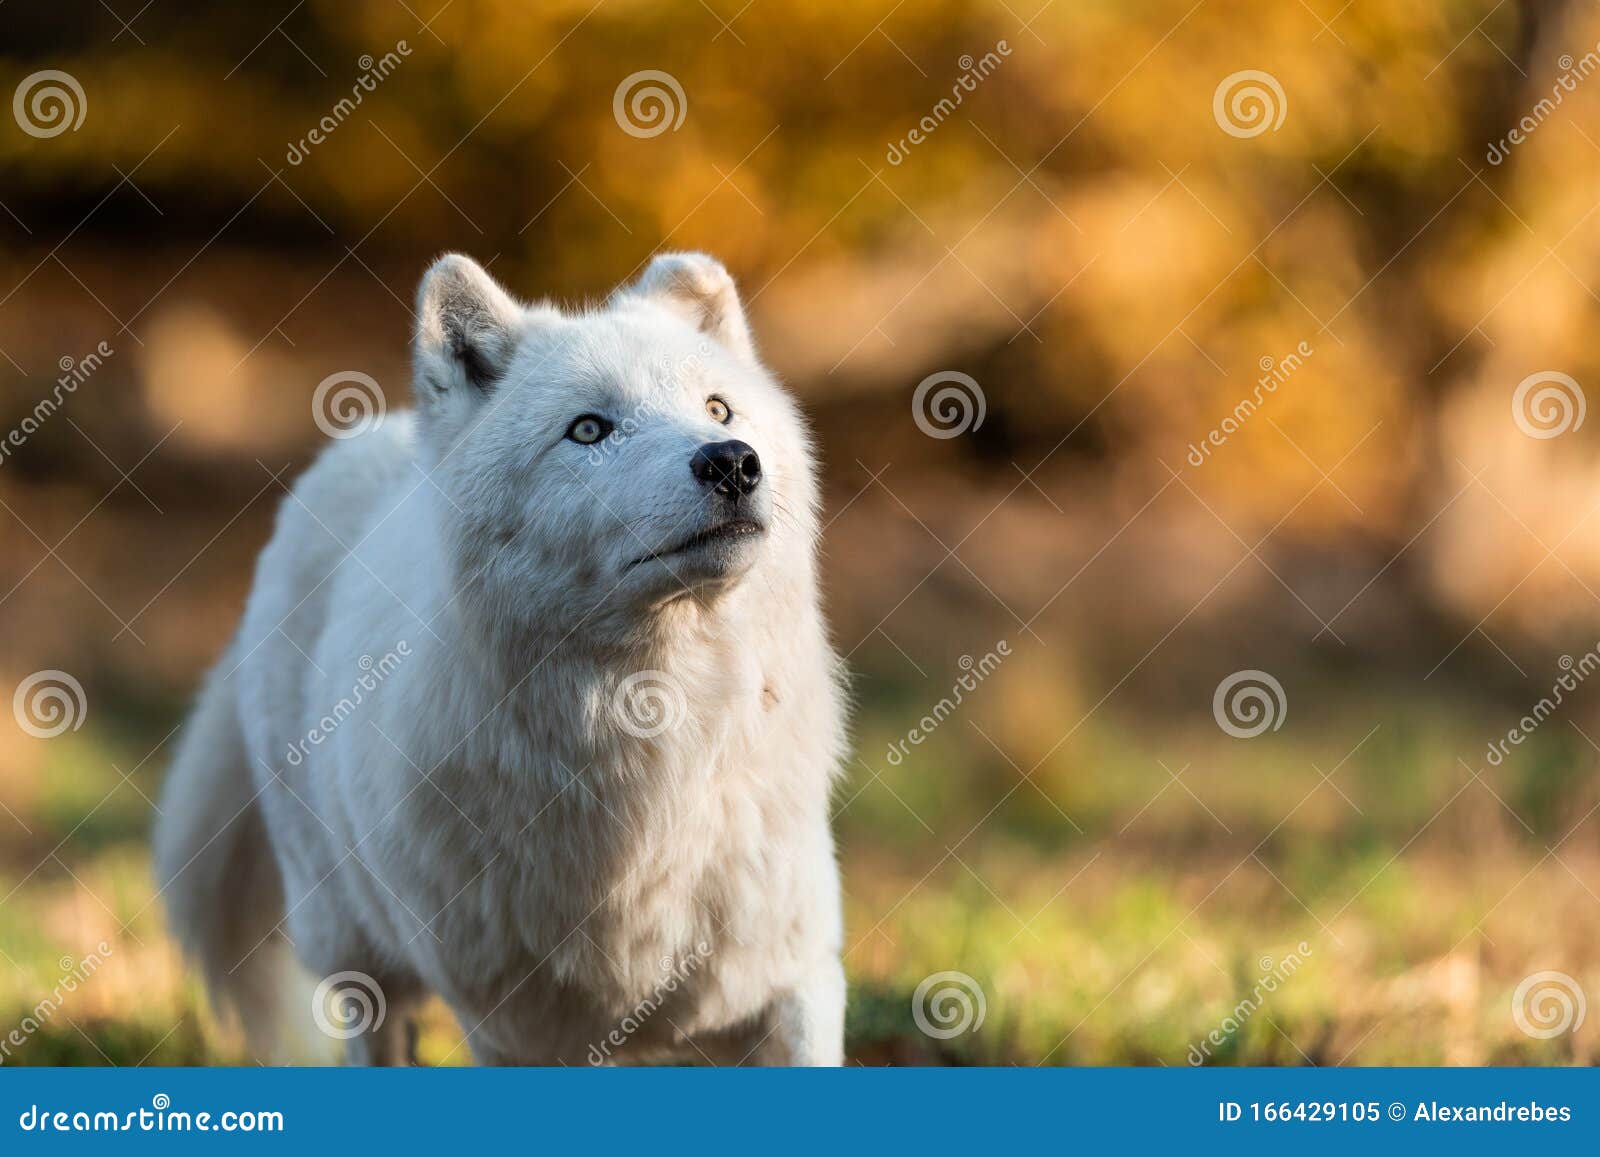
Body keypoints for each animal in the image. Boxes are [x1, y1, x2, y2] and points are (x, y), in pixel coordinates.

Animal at [152, 252, 849, 1065]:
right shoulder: (517, 1031)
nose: (732, 463)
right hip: (355, 950)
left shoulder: (792, 974)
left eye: (718, 410)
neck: (659, 729)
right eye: (588, 429)